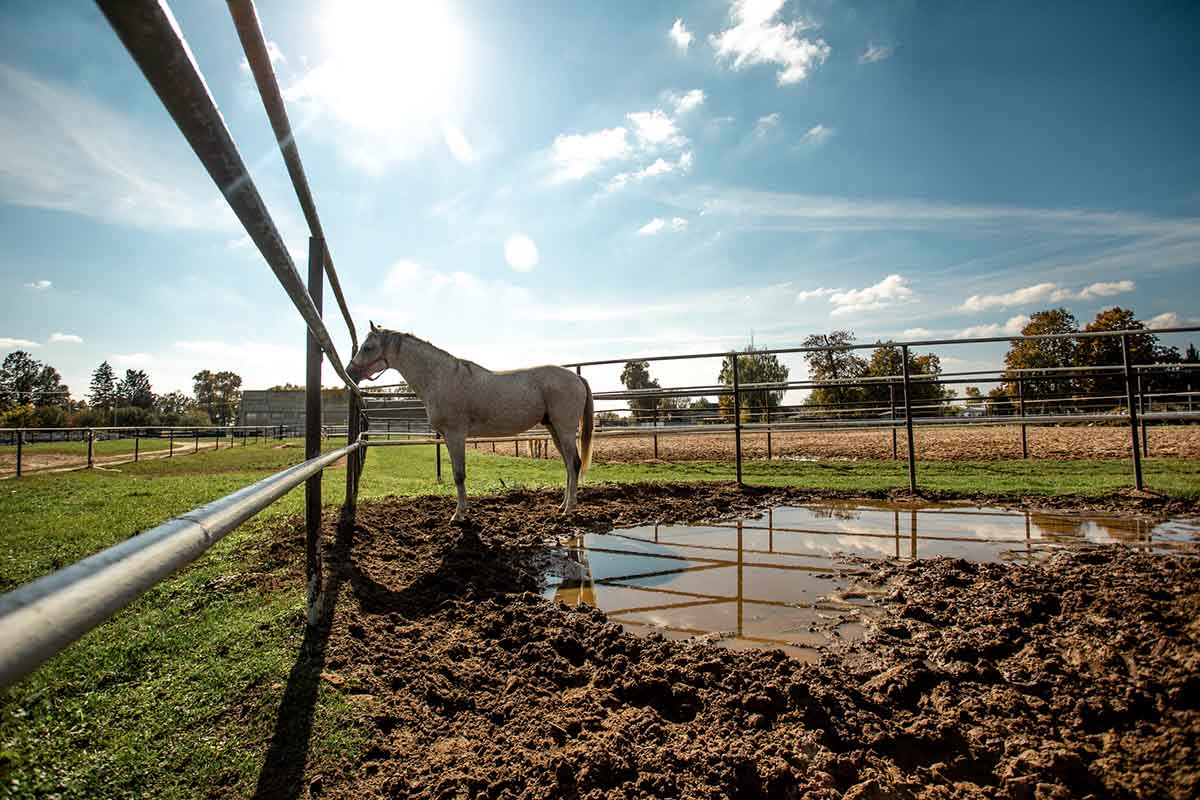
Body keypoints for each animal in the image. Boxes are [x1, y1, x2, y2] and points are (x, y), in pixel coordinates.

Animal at [346, 323, 594, 522]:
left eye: (368, 347)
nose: (349, 372)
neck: (441, 378)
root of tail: (577, 377)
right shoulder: (449, 438)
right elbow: (459, 474)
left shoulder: (456, 435)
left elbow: (459, 475)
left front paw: (458, 515)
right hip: (554, 429)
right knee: (568, 465)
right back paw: (562, 505)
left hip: (564, 429)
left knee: (574, 463)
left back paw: (569, 509)